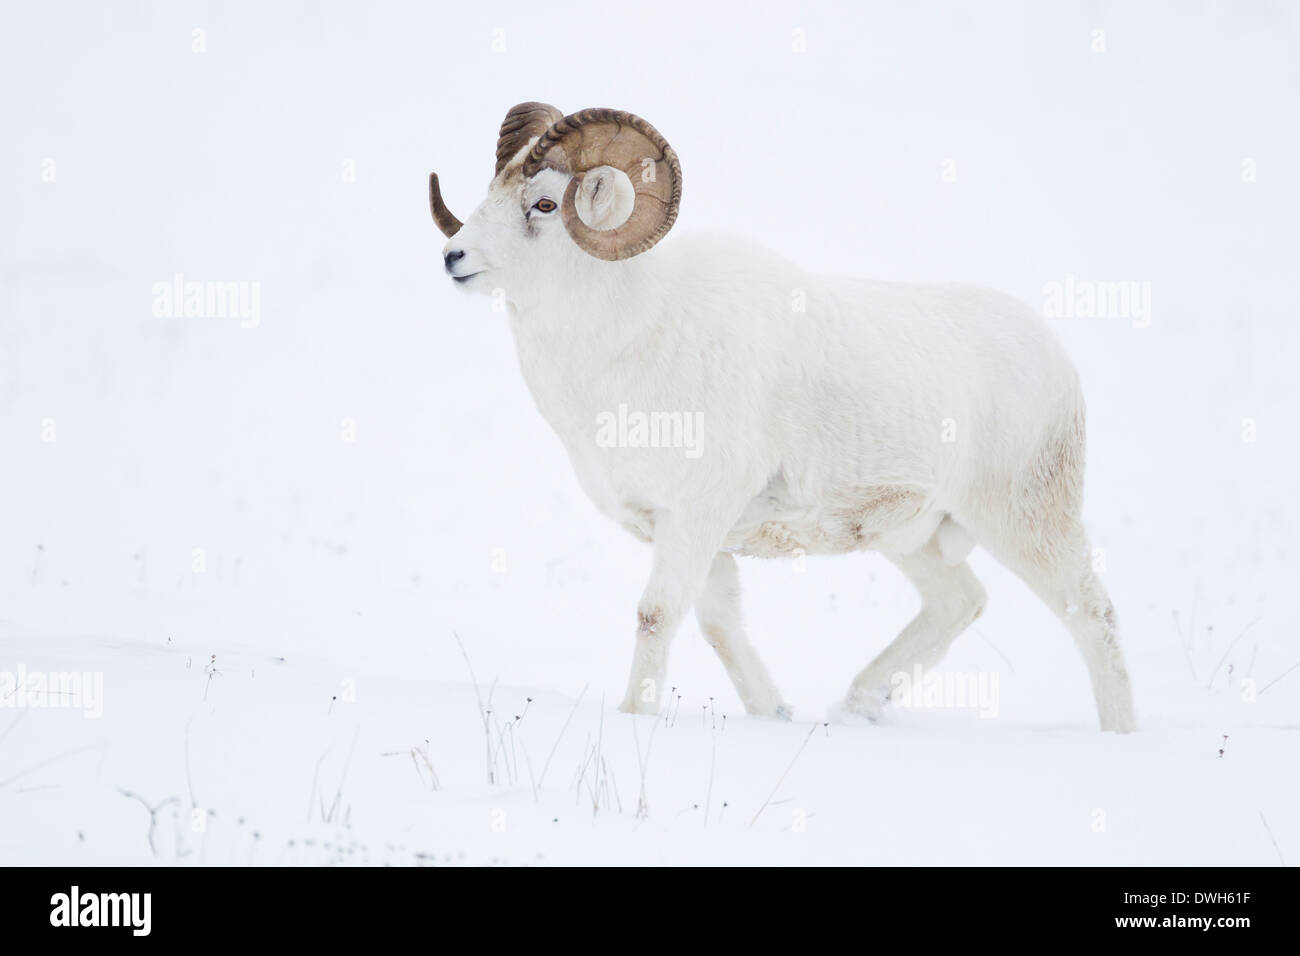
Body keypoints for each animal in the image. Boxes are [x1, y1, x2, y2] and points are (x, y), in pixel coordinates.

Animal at [429, 102, 1136, 733]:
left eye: (545, 205)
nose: (454, 258)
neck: (629, 340)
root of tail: (1053, 357)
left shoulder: (693, 521)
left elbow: (657, 616)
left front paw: (633, 719)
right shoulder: (693, 535)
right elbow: (719, 624)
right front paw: (773, 713)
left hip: (1025, 523)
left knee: (1091, 614)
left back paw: (1118, 734)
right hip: (918, 540)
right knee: (961, 602)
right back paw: (858, 705)